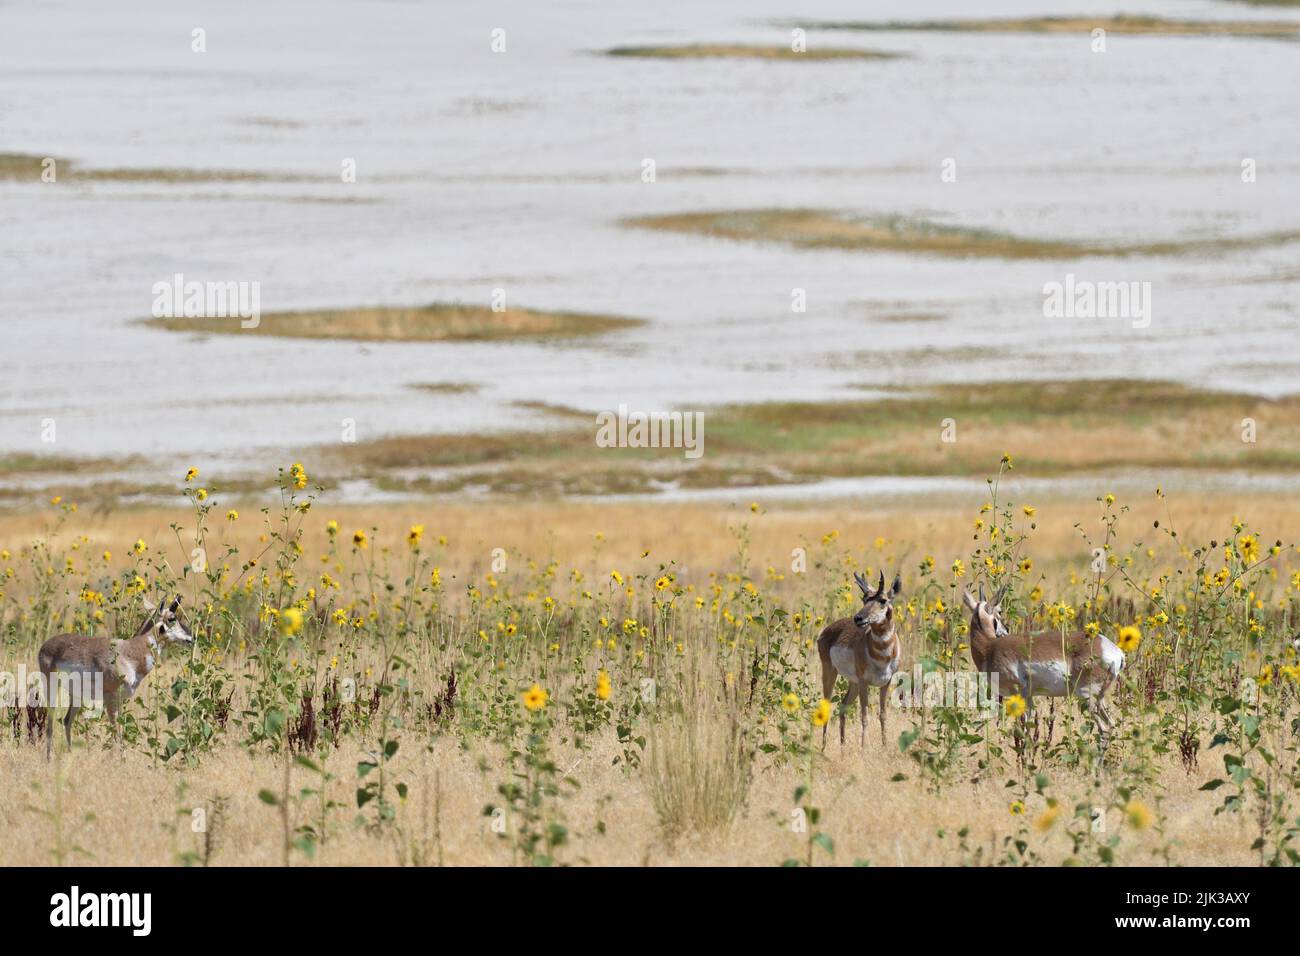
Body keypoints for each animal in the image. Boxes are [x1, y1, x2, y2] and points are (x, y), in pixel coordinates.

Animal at [38, 594, 194, 757]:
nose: (192, 637)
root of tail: (46, 645)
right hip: (51, 688)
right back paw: (49, 757)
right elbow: (116, 733)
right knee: (50, 722)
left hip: (76, 696)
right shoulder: (110, 699)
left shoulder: (120, 699)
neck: (129, 652)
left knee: (67, 720)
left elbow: (120, 729)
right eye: (172, 618)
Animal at [817, 570, 903, 747]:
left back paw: (843, 747)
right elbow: (864, 717)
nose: (858, 618)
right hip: (830, 673)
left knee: (842, 706)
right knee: (827, 707)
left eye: (883, 600)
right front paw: (863, 748)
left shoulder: (886, 683)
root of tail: (827, 629)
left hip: (853, 682)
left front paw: (885, 745)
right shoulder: (865, 683)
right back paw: (823, 748)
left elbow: (883, 715)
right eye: (864, 599)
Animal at [962, 586, 1123, 732]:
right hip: (1099, 699)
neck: (989, 647)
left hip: (1087, 696)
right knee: (1111, 725)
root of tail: (1114, 650)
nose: (1006, 630)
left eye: (999, 610)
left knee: (1104, 728)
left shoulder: (1020, 693)